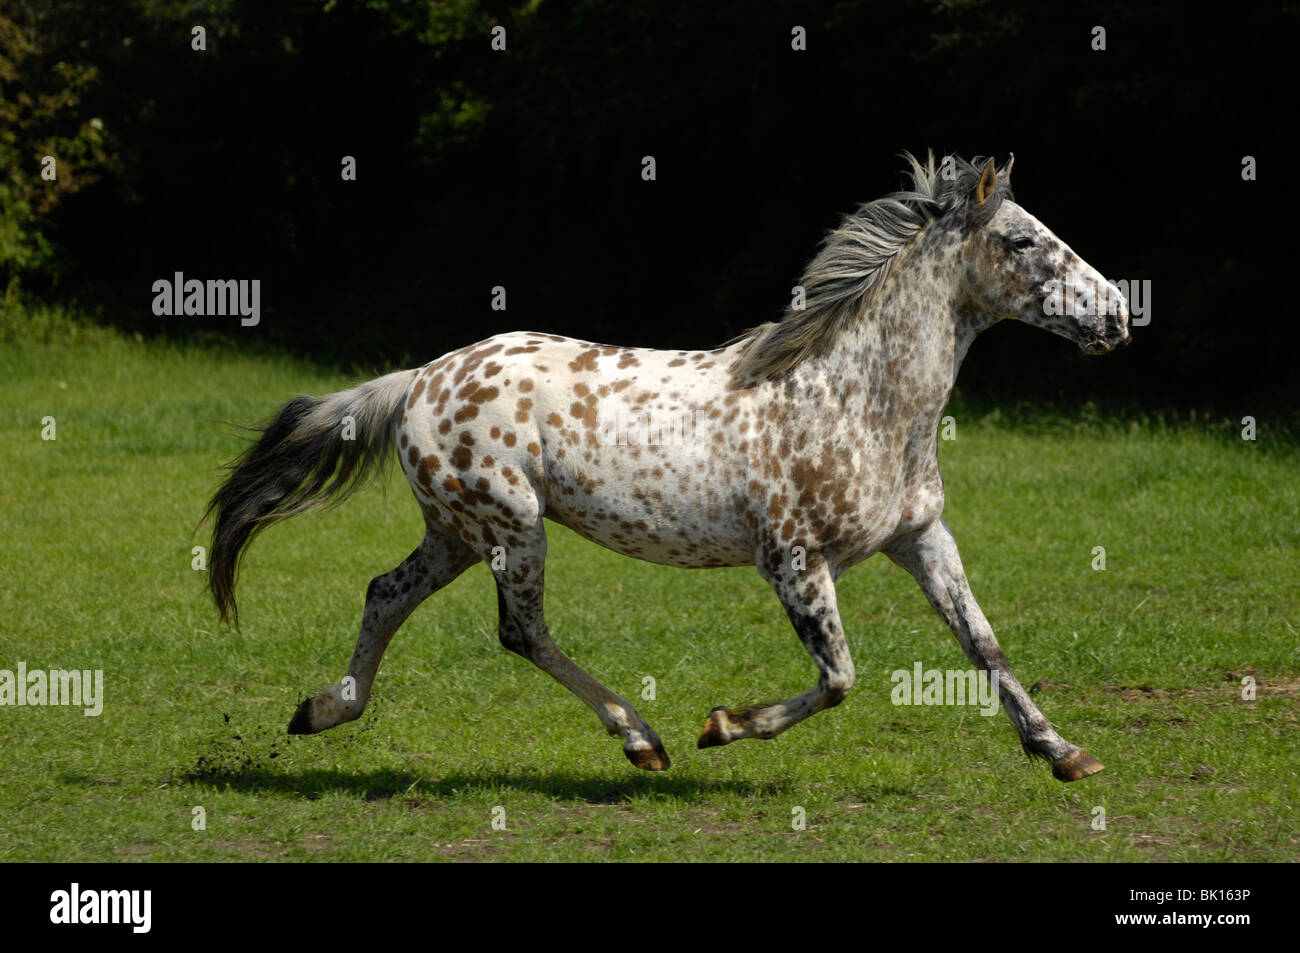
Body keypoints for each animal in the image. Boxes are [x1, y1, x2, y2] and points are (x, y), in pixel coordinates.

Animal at [206, 153, 1129, 782]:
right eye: (1022, 239)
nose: (1119, 313)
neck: (856, 397)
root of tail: (416, 380)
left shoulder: (921, 537)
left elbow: (984, 642)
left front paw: (1065, 751)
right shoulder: (793, 561)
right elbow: (838, 678)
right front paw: (720, 725)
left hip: (457, 533)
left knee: (385, 593)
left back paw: (322, 710)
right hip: (512, 527)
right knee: (520, 630)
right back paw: (641, 737)